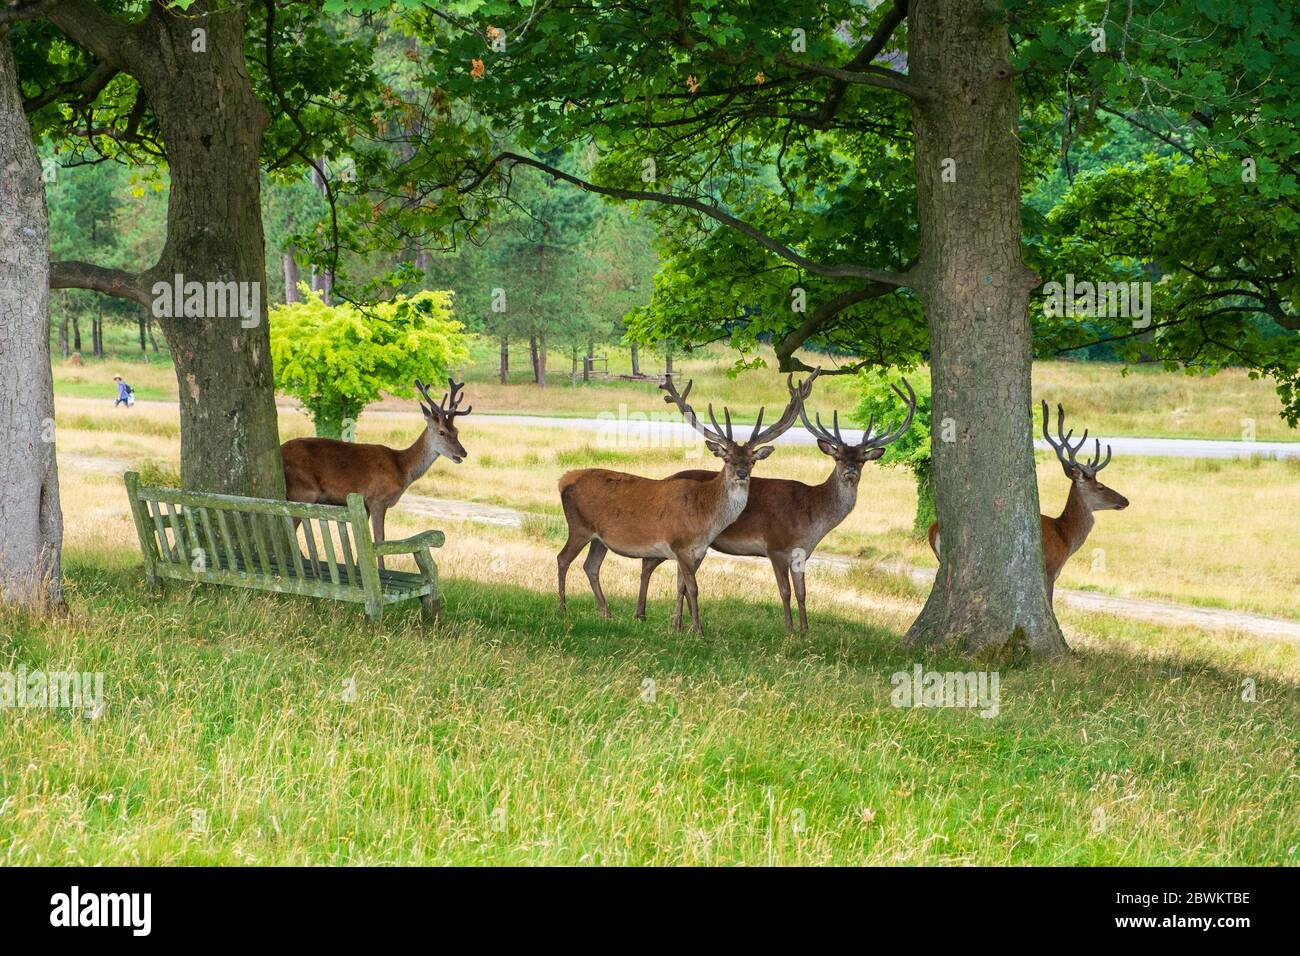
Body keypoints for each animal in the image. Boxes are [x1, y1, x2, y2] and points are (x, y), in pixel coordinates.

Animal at [282, 378, 472, 563]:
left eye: (456, 431)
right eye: (442, 432)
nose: (463, 452)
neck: (402, 467)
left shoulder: (364, 506)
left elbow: (363, 542)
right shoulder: (377, 499)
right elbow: (379, 540)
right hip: (303, 491)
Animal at [556, 373, 816, 634]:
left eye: (752, 460)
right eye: (728, 459)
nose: (741, 473)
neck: (704, 515)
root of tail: (563, 479)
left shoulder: (699, 550)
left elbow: (682, 586)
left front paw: (683, 627)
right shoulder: (679, 544)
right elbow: (693, 588)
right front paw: (698, 630)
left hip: (599, 538)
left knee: (591, 566)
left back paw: (607, 613)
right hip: (579, 526)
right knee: (563, 558)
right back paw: (563, 608)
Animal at [635, 376, 917, 631]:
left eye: (861, 460)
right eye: (837, 457)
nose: (850, 471)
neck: (812, 516)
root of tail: (663, 480)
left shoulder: (802, 552)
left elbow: (803, 593)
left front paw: (805, 631)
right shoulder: (775, 545)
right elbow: (785, 592)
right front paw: (789, 631)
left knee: (676, 576)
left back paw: (674, 622)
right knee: (652, 564)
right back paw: (646, 615)